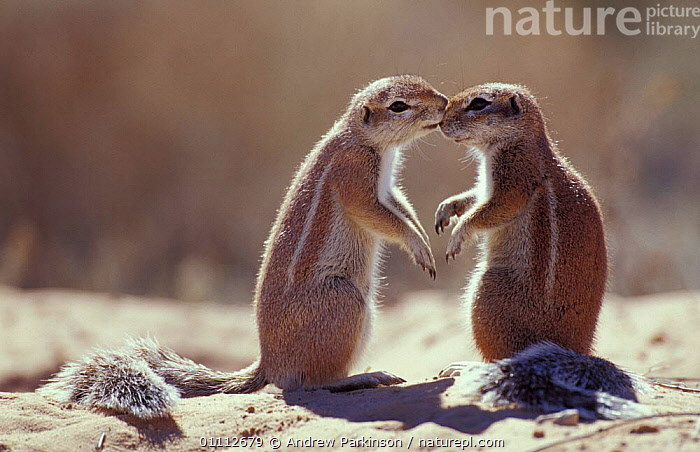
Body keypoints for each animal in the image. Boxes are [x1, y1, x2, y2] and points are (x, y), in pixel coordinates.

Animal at [39, 75, 448, 418]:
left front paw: (425, 237)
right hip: (346, 302)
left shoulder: (388, 188)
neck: (361, 137)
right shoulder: (355, 177)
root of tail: (268, 362)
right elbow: (380, 218)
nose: (445, 103)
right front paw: (417, 245)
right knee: (309, 383)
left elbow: (401, 209)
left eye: (427, 83)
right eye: (399, 105)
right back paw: (361, 377)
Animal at [434, 83, 651, 419]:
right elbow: (473, 199)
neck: (520, 141)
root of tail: (575, 352)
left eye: (479, 104)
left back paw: (465, 367)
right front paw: (447, 209)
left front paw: (459, 234)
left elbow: (492, 210)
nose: (441, 122)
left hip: (487, 294)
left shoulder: (516, 177)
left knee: (503, 357)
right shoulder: (486, 185)